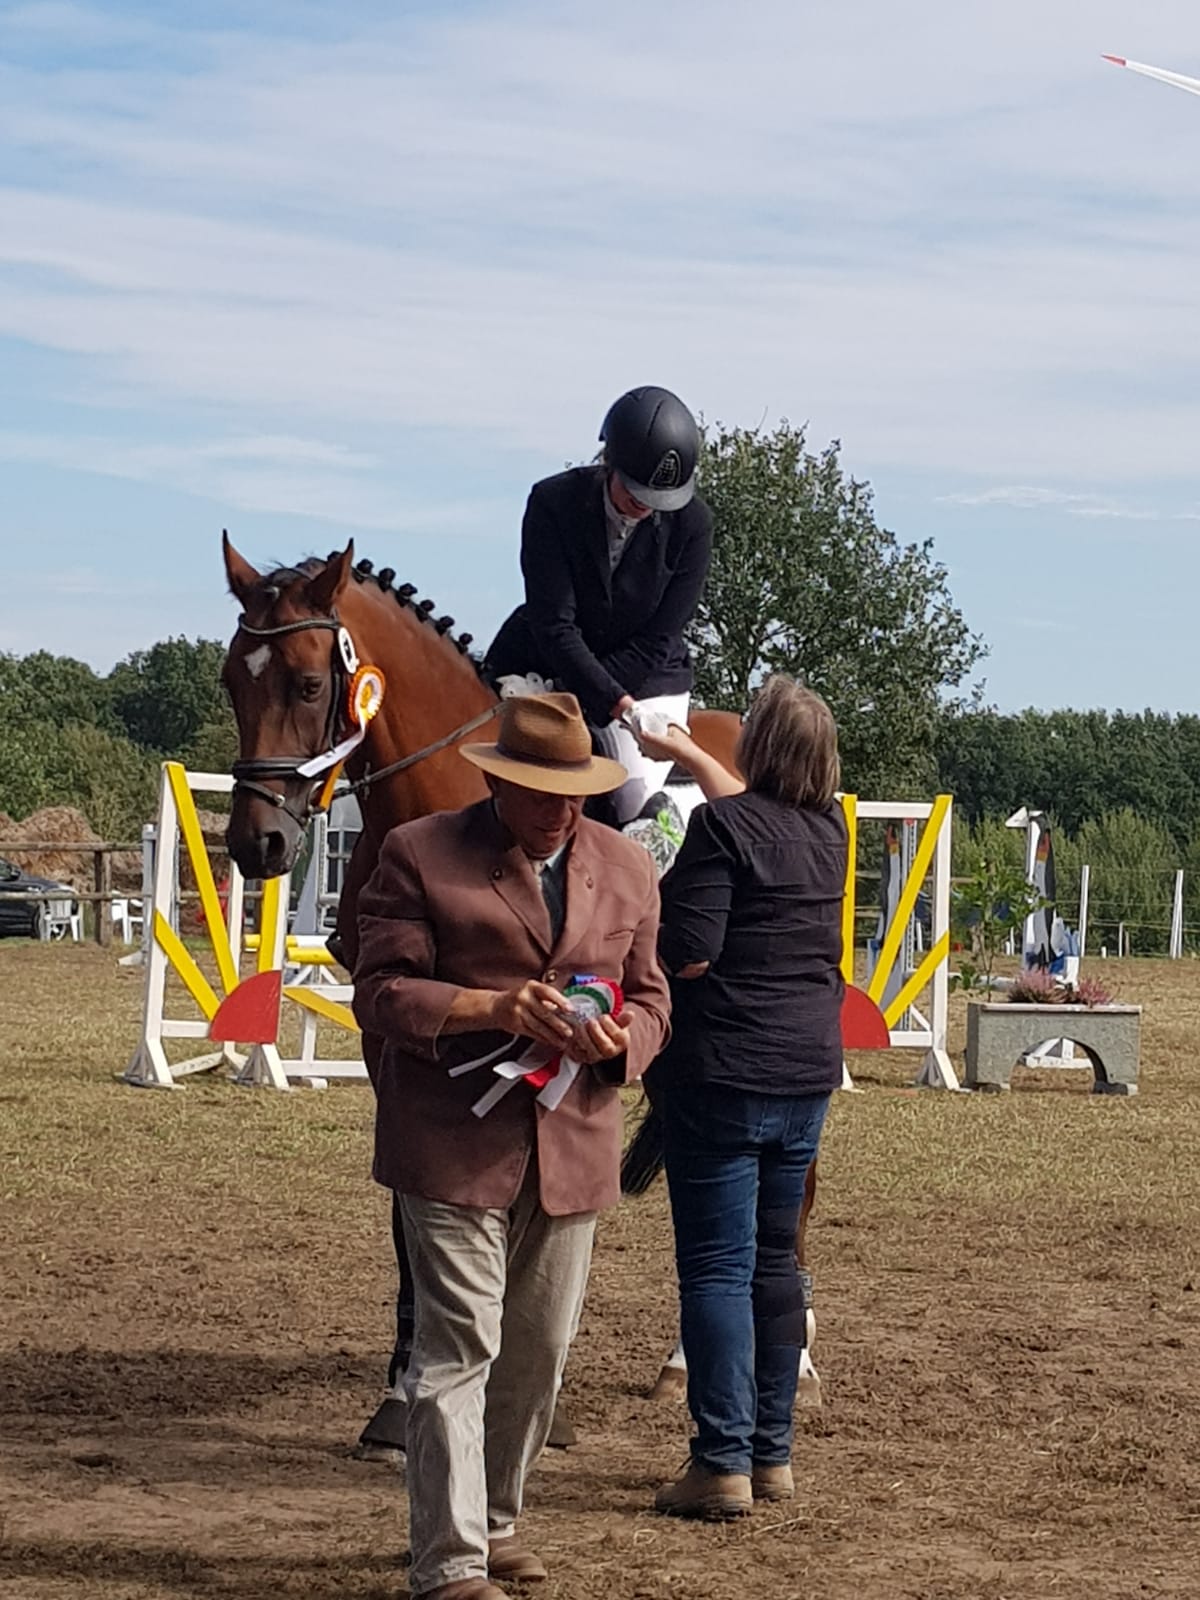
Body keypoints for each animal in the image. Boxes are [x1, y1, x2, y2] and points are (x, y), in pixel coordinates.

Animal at [219, 534, 823, 1451]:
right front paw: (403, 1388)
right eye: (230, 680)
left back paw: (785, 1363)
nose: (257, 843)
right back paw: (689, 1362)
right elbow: (413, 1203)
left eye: (310, 684)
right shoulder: (395, 1034)